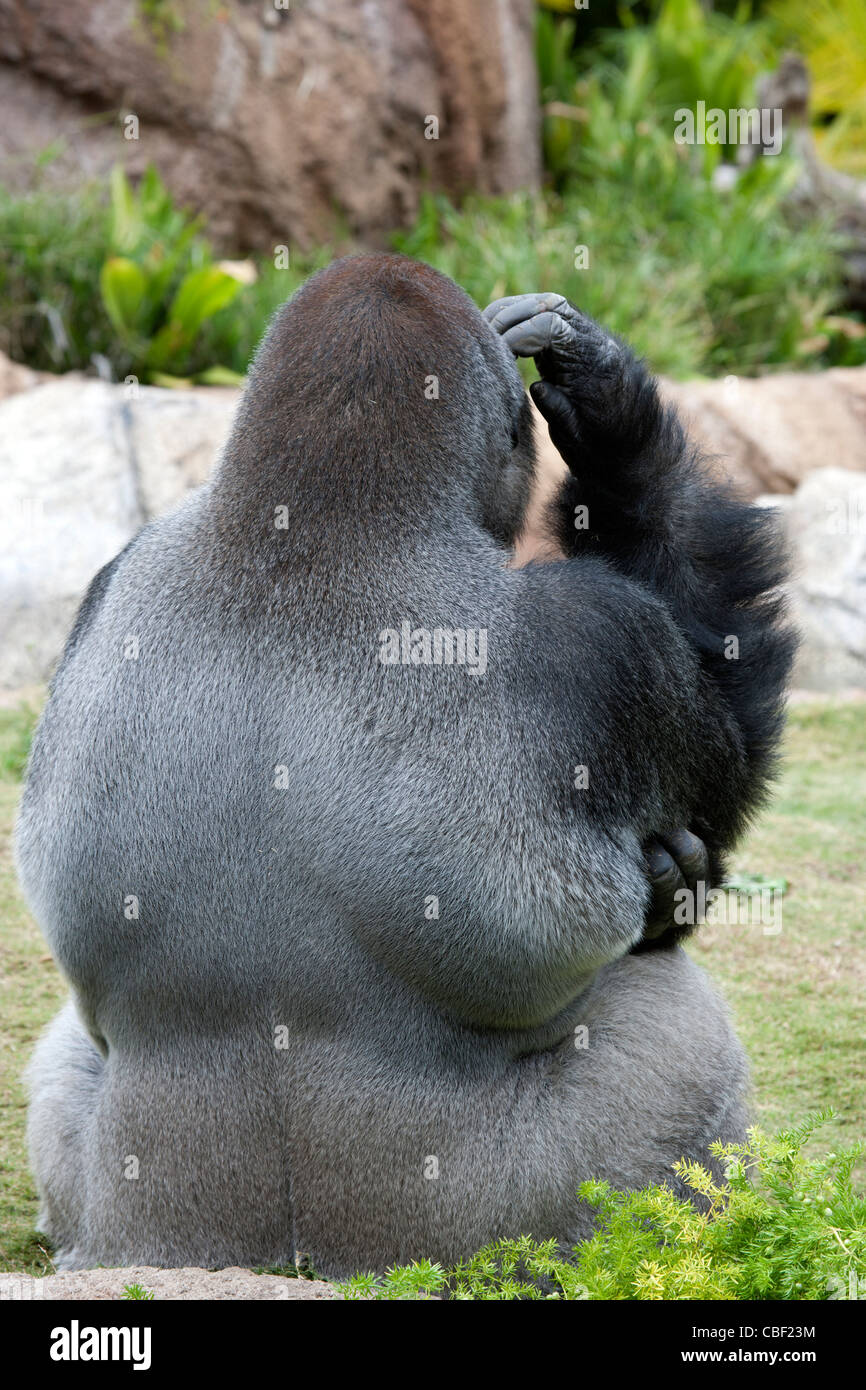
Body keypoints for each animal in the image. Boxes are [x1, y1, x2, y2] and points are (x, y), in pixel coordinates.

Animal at [17, 255, 795, 1278]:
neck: (305, 527)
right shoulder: (605, 642)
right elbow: (726, 776)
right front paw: (620, 418)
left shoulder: (113, 578)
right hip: (476, 1238)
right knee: (679, 1032)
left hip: (117, 1206)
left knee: (64, 1058)